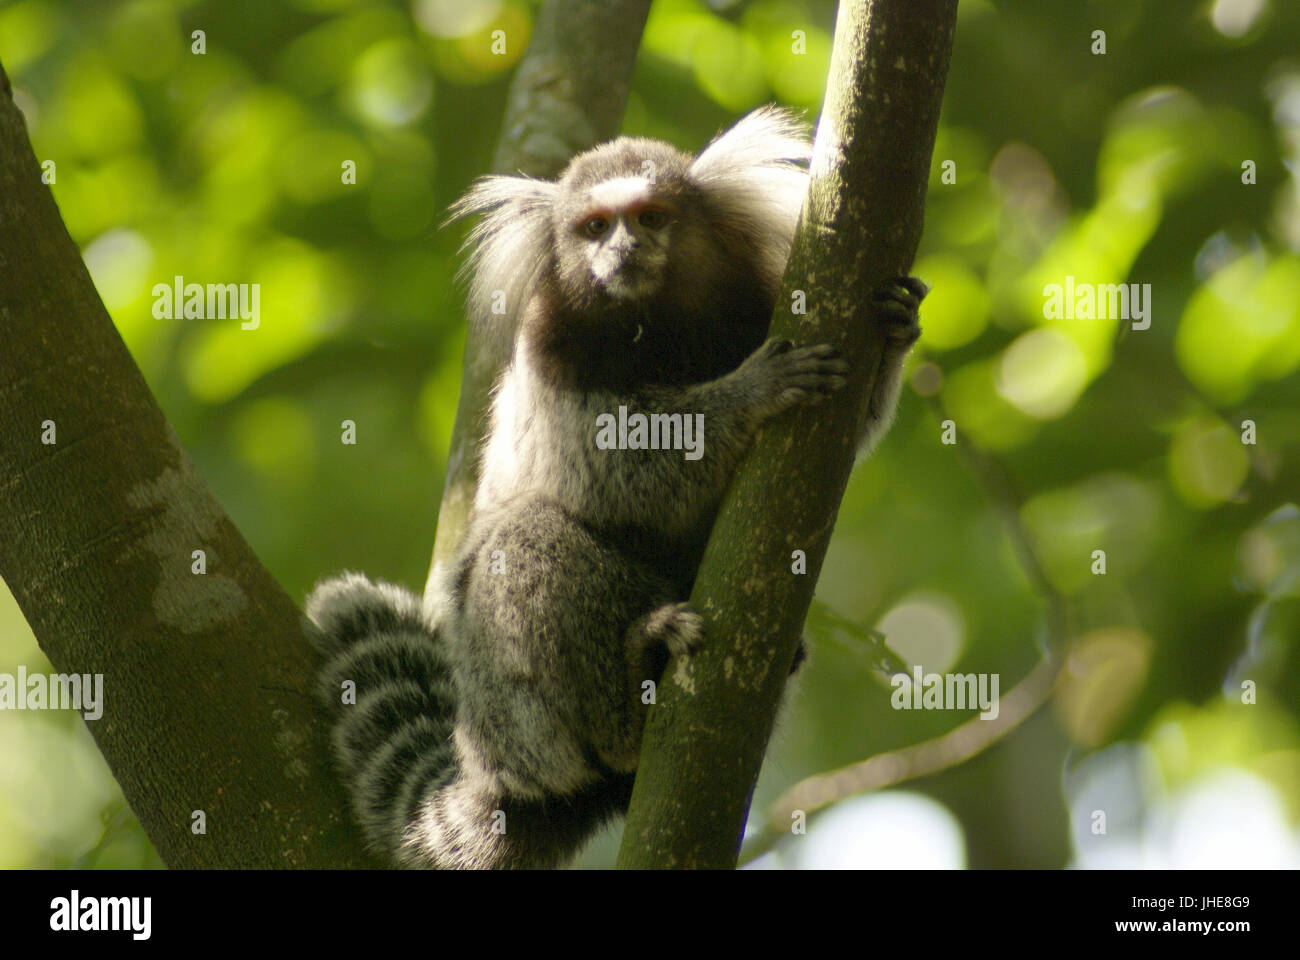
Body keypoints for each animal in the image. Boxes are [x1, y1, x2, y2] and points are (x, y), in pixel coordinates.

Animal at [306, 107, 926, 868]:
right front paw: (746, 394)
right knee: (523, 543)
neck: (654, 322)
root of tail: (490, 772)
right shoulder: (554, 351)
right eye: (596, 226)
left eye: (651, 217)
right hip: (510, 714)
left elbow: (851, 427)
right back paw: (631, 697)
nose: (624, 250)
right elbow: (611, 472)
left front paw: (895, 329)